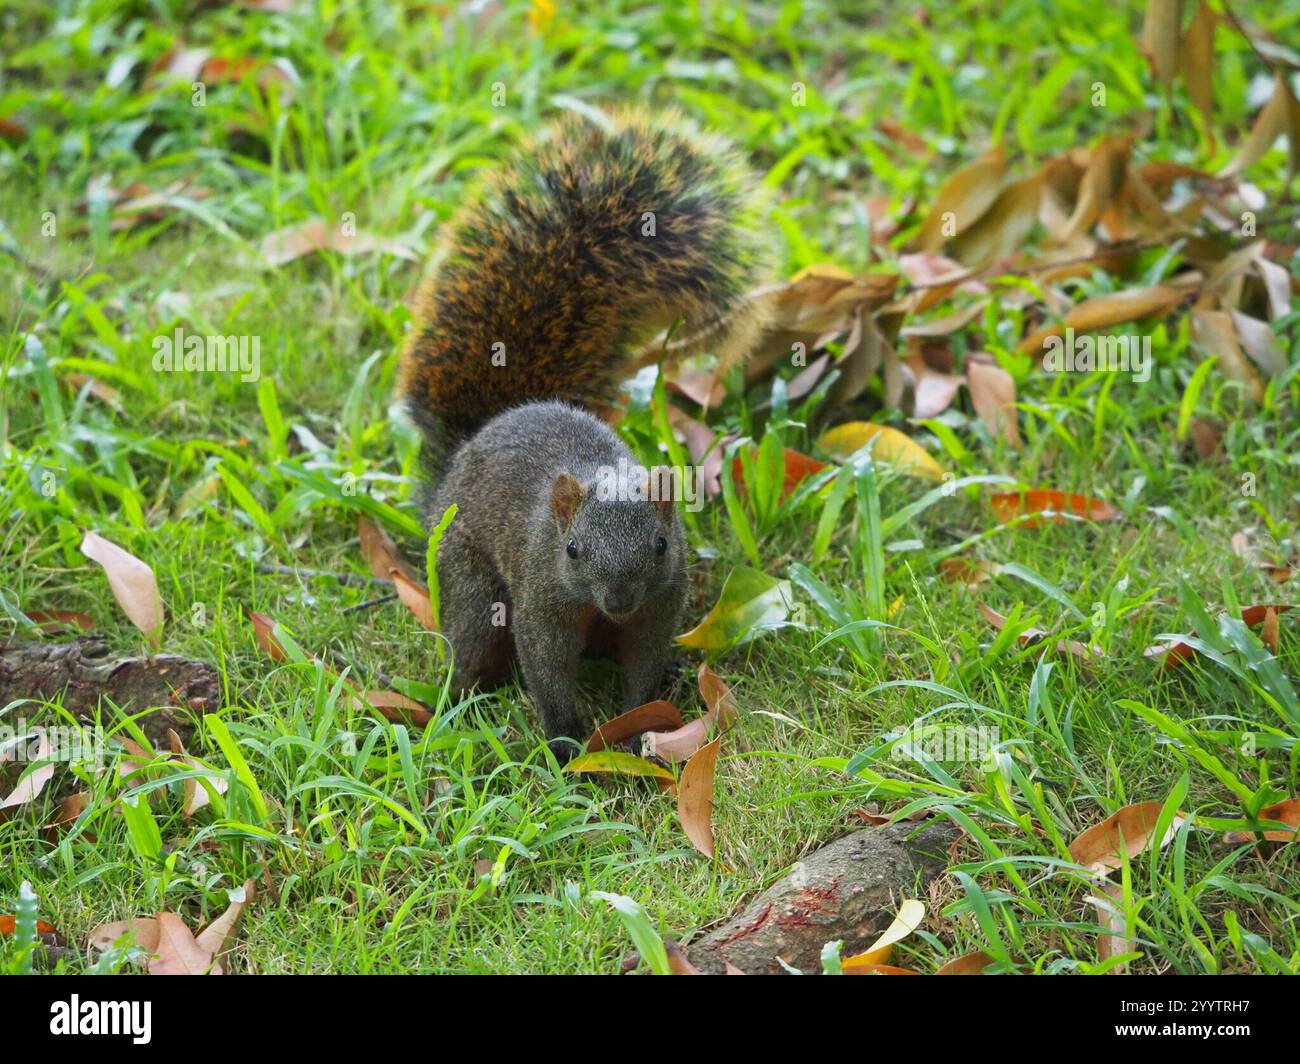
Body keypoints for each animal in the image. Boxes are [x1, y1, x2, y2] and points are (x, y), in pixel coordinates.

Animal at [397, 108, 766, 761]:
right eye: (571, 550)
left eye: (661, 545)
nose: (617, 600)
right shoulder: (542, 599)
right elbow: (545, 666)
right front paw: (569, 739)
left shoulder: (659, 601)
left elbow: (643, 659)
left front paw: (638, 720)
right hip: (466, 575)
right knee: (472, 637)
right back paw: (459, 697)